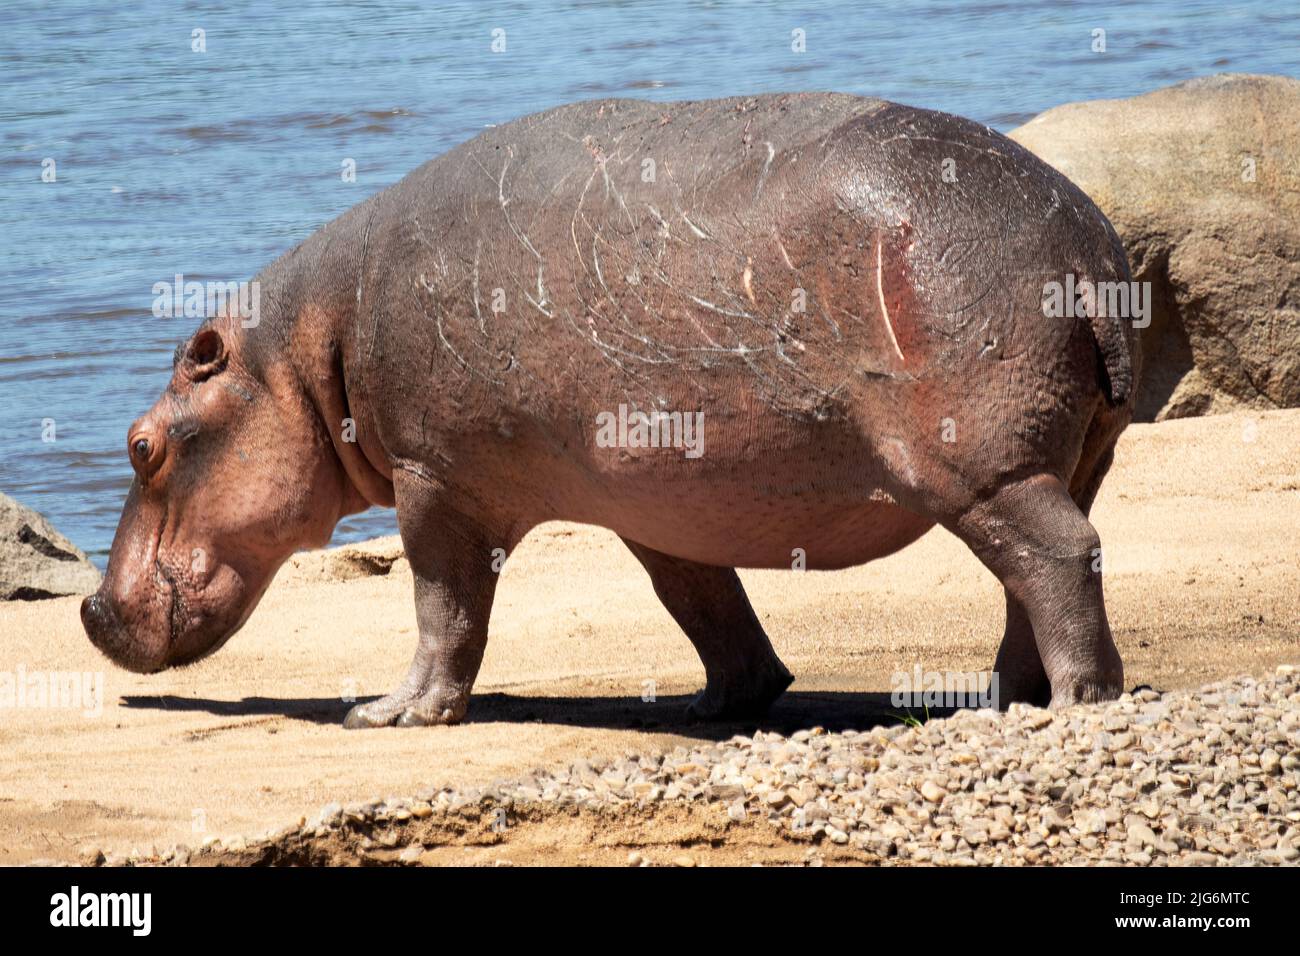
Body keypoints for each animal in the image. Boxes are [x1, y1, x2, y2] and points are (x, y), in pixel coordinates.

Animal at [82, 93, 1139, 727]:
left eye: (140, 447)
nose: (89, 607)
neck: (304, 352)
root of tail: (1088, 244)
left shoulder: (436, 478)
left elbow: (443, 606)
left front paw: (388, 714)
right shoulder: (655, 500)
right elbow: (701, 601)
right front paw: (720, 704)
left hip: (981, 468)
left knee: (1059, 555)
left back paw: (1075, 703)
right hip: (1070, 455)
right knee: (1035, 571)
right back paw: (999, 702)